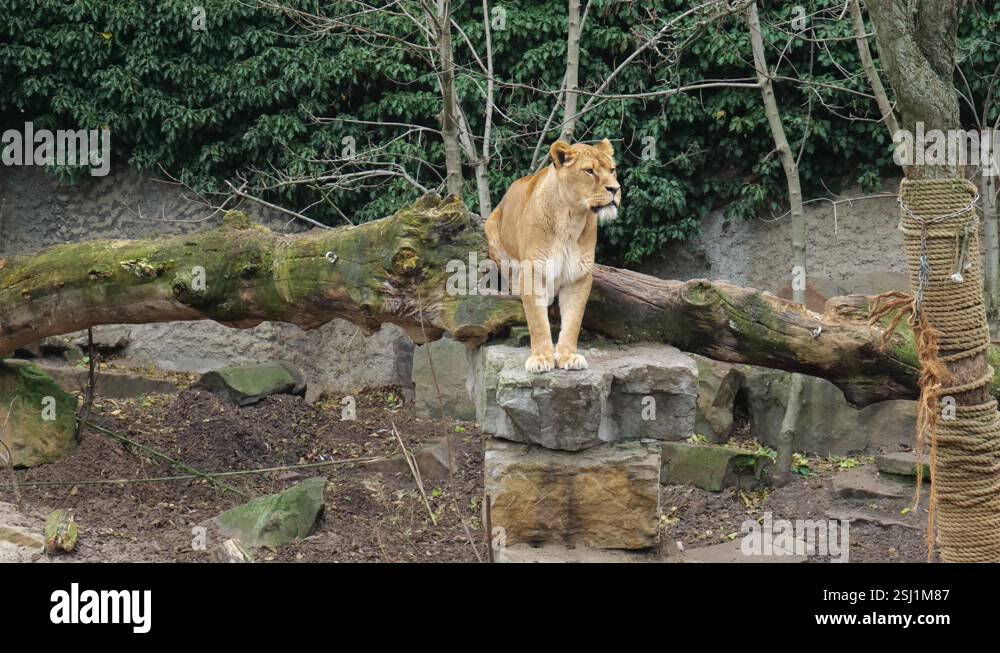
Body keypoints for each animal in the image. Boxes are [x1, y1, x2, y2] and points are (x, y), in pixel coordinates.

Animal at [485, 139, 621, 373]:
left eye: (612, 170)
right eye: (589, 171)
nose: (615, 189)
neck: (571, 219)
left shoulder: (579, 277)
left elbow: (573, 320)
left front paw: (568, 356)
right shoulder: (533, 271)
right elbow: (538, 322)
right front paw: (541, 358)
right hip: (491, 226)